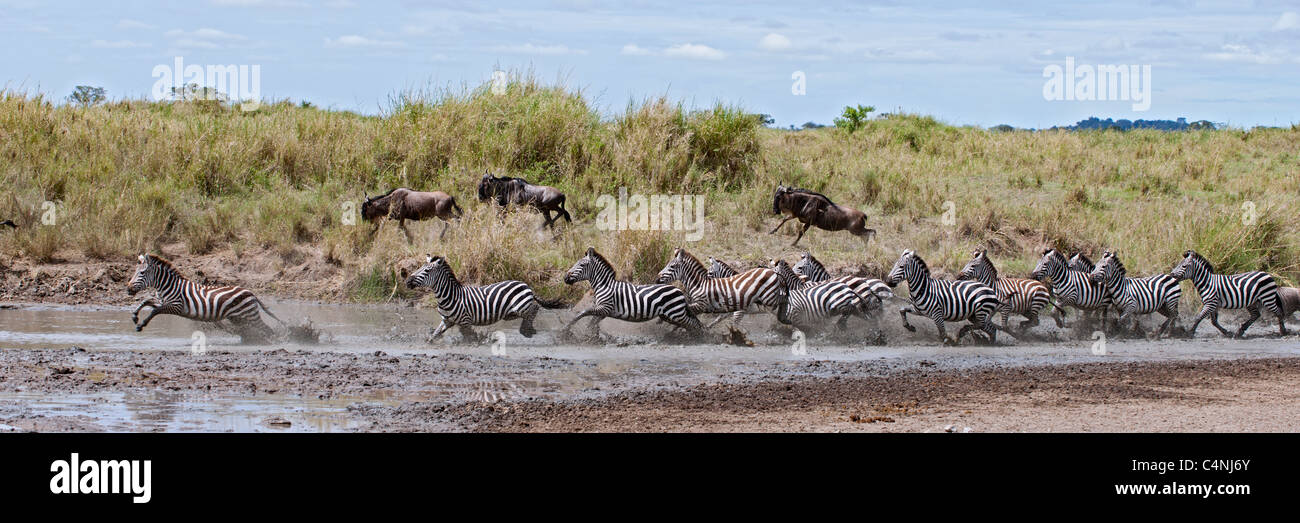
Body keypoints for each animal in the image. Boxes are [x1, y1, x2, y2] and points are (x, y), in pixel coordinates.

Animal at [127, 253, 284, 342]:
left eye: (141, 273)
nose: (128, 289)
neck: (169, 286)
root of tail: (251, 293)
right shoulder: (163, 302)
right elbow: (146, 301)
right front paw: (134, 316)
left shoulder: (176, 306)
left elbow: (155, 311)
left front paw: (141, 325)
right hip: (239, 318)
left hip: (249, 315)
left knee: (267, 329)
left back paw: (276, 341)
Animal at [405, 255, 566, 340]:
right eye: (419, 268)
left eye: (426, 271)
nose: (407, 281)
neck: (449, 297)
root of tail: (525, 284)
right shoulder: (447, 320)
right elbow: (434, 336)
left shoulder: (465, 321)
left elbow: (469, 339)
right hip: (510, 313)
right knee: (532, 310)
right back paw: (527, 329)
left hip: (520, 306)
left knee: (535, 307)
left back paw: (526, 330)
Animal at [563, 247, 702, 334]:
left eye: (581, 265)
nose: (565, 278)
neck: (604, 285)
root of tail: (679, 290)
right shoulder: (603, 312)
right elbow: (592, 323)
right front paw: (591, 336)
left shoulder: (605, 307)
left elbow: (583, 312)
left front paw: (565, 329)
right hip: (669, 315)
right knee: (692, 324)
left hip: (676, 313)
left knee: (693, 324)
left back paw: (699, 339)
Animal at [655, 248, 784, 329]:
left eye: (672, 266)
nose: (657, 279)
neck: (700, 284)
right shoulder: (726, 308)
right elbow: (714, 319)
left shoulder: (704, 305)